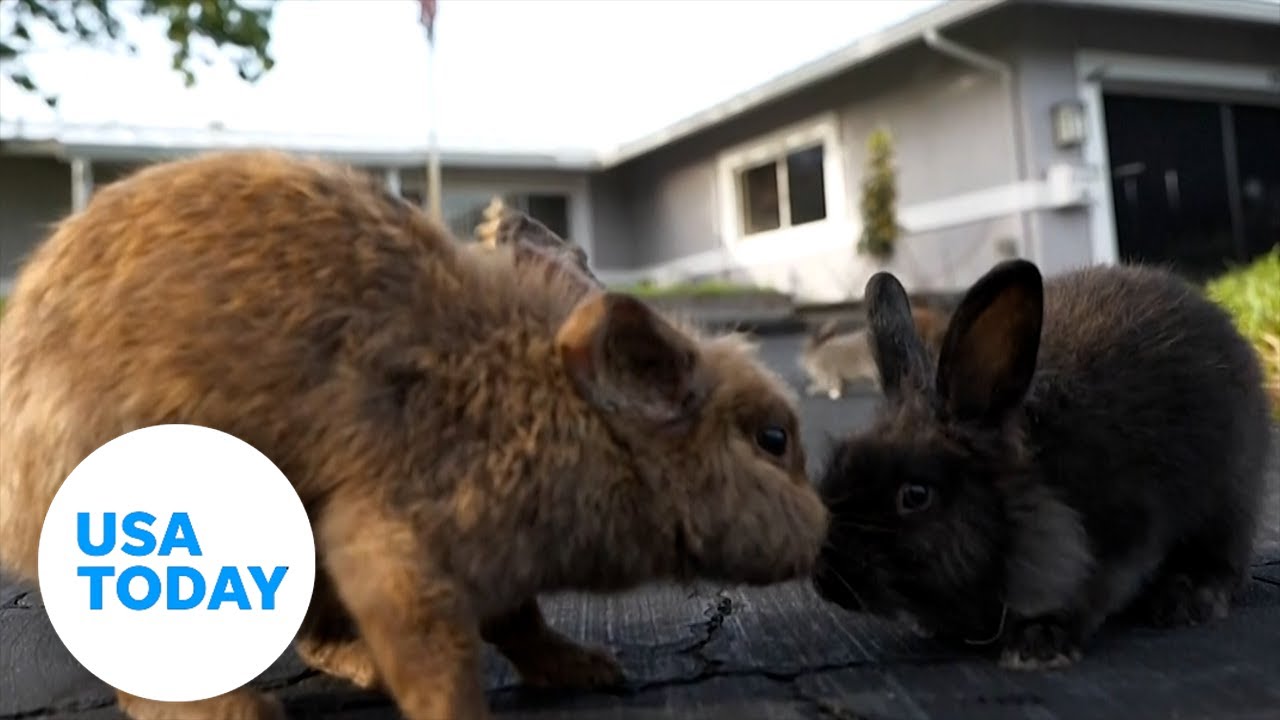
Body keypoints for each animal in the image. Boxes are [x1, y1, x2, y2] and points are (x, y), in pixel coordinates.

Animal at [0, 149, 830, 720]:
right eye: (773, 440)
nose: (824, 531)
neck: (563, 410)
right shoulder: (395, 549)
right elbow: (439, 663)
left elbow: (521, 624)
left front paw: (588, 668)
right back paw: (247, 712)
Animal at [811, 258, 1272, 671]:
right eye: (838, 462)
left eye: (915, 495)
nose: (824, 579)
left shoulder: (1124, 534)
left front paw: (1037, 647)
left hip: (1230, 498)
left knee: (1226, 561)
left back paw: (1189, 597)